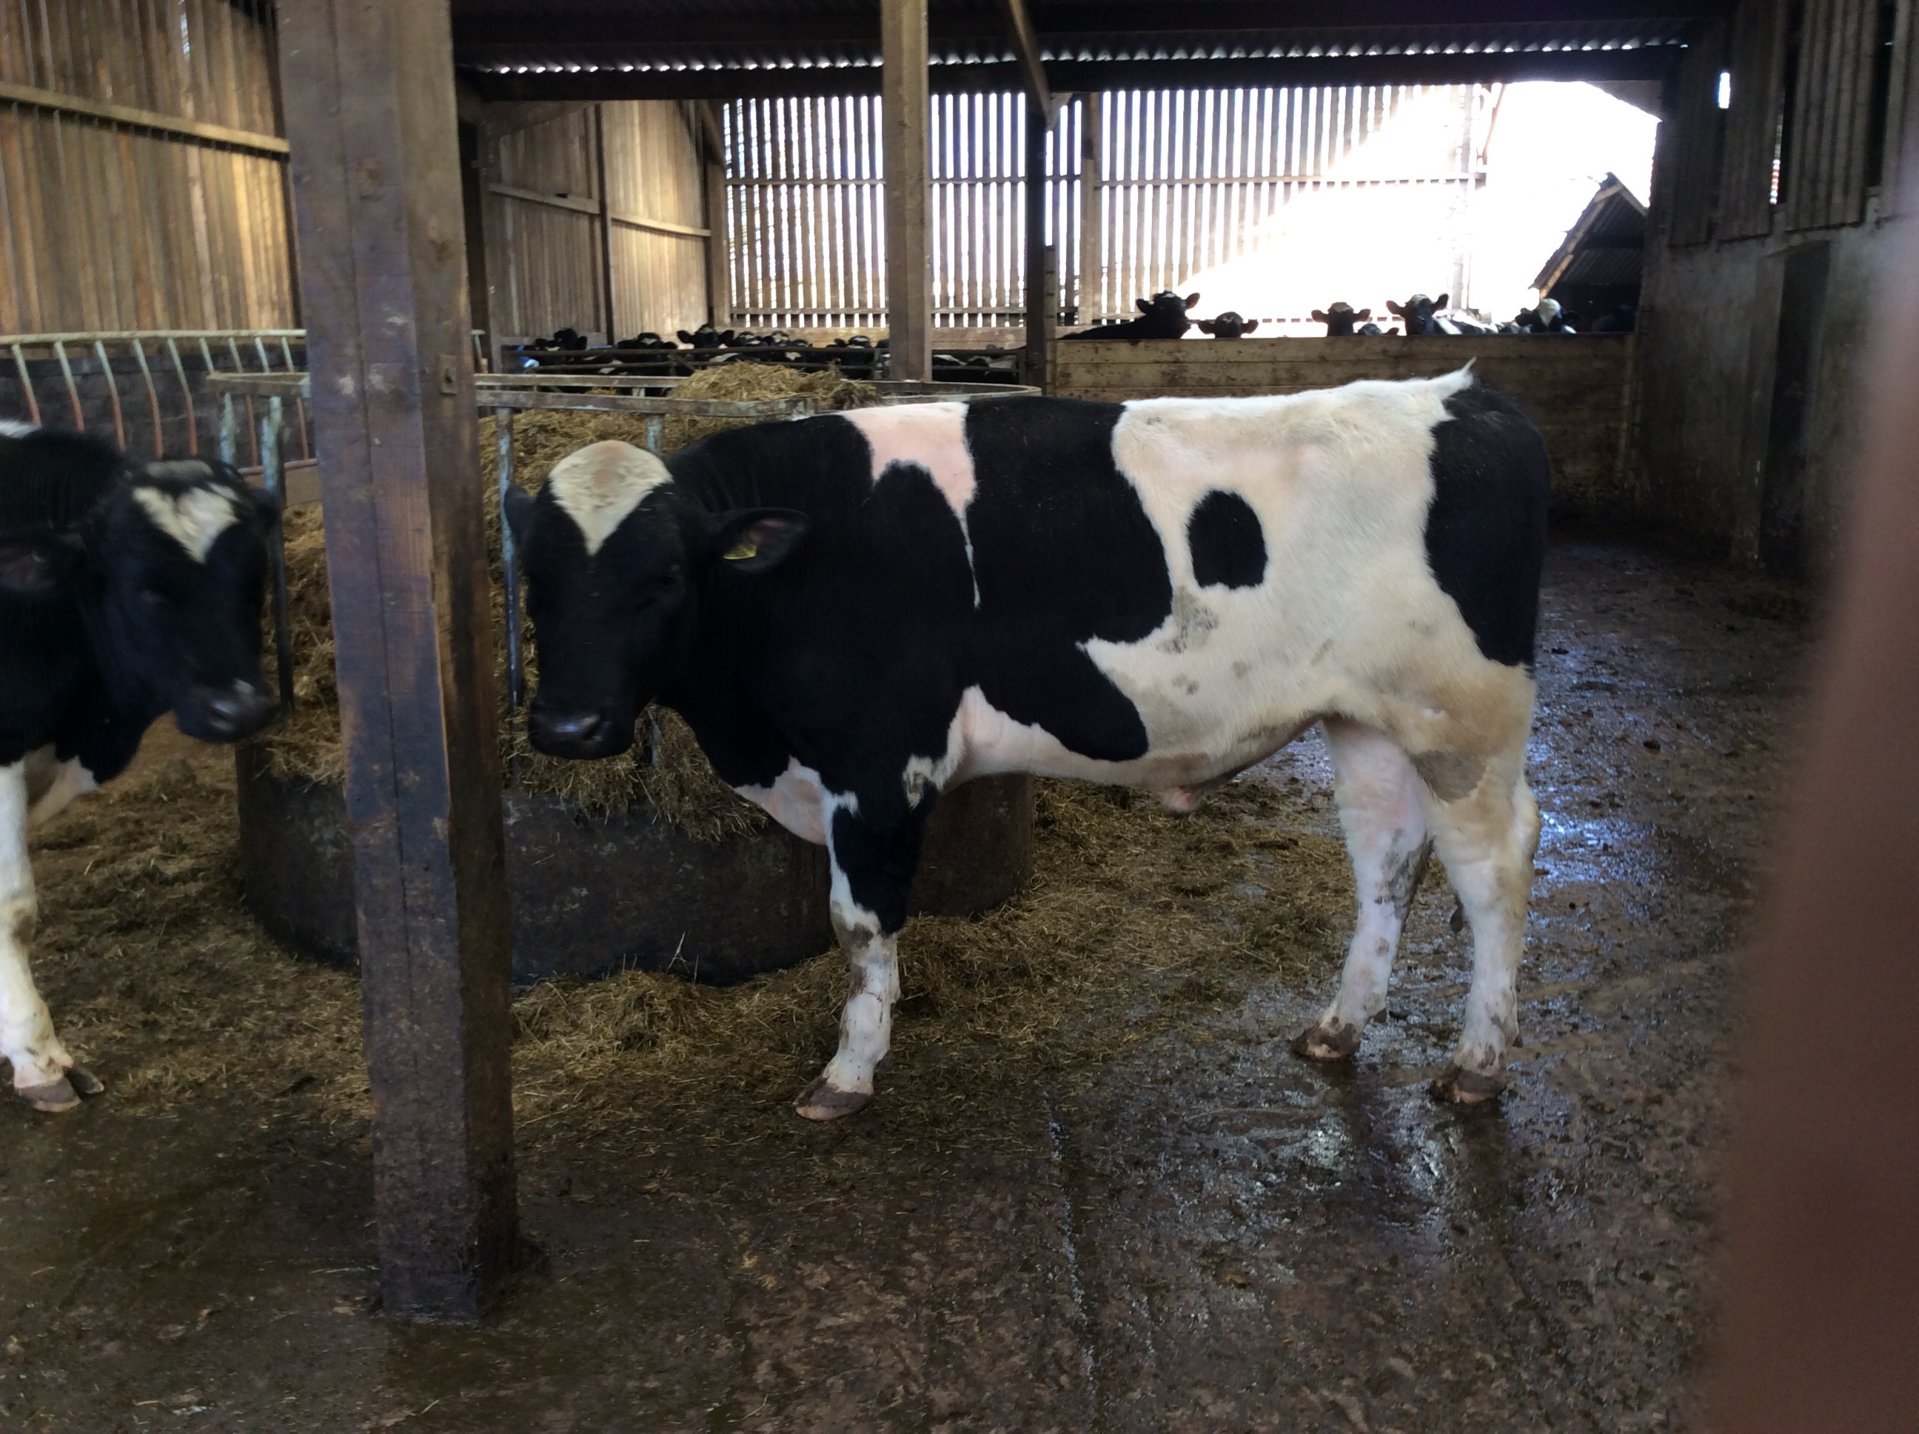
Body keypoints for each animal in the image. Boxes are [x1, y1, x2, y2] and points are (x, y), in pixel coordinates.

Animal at [504, 371, 1549, 1121]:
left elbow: (858, 925)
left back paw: (1477, 1064)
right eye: (534, 581)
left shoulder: (879, 763)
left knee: (1493, 869)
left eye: (666, 577)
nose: (567, 727)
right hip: (1370, 719)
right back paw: (1337, 1029)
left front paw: (848, 1072)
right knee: (1385, 857)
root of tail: (1463, 394)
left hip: (1464, 720)